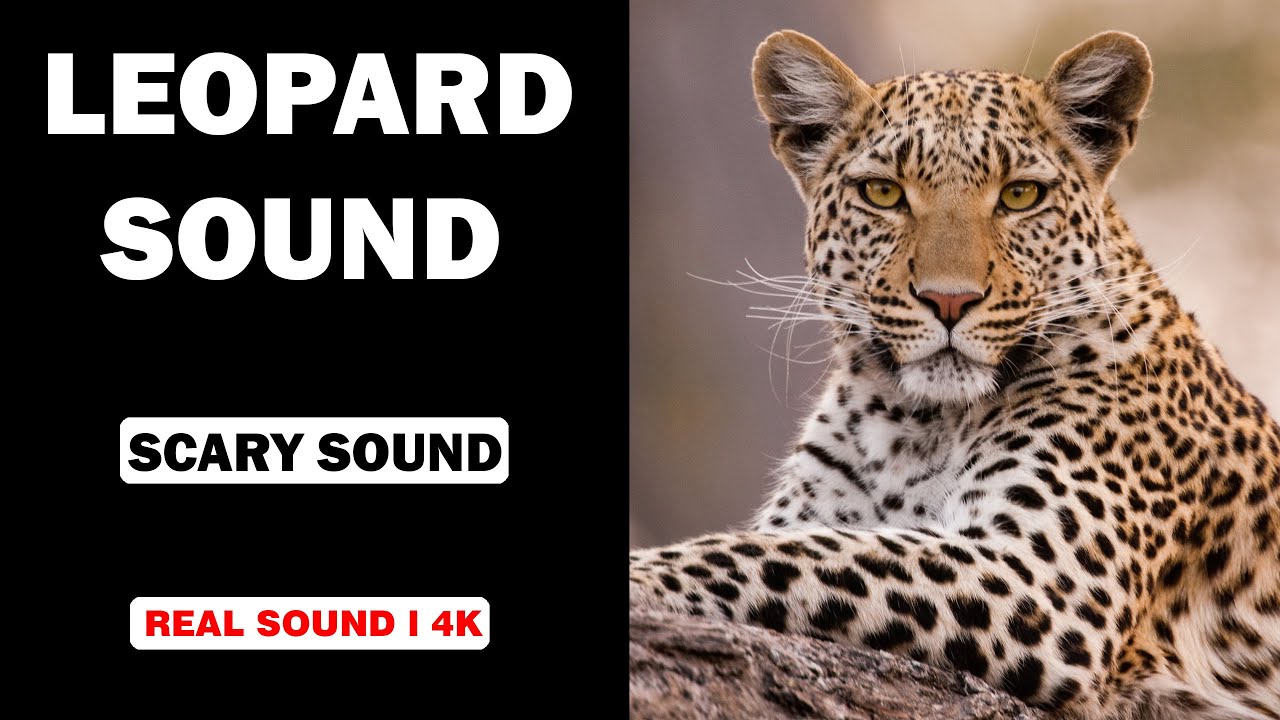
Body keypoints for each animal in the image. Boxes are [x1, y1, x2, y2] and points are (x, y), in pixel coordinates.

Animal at [629, 30, 1279, 719]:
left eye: (1020, 195)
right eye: (883, 193)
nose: (948, 300)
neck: (913, 426)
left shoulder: (1040, 578)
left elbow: (783, 555)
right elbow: (797, 542)